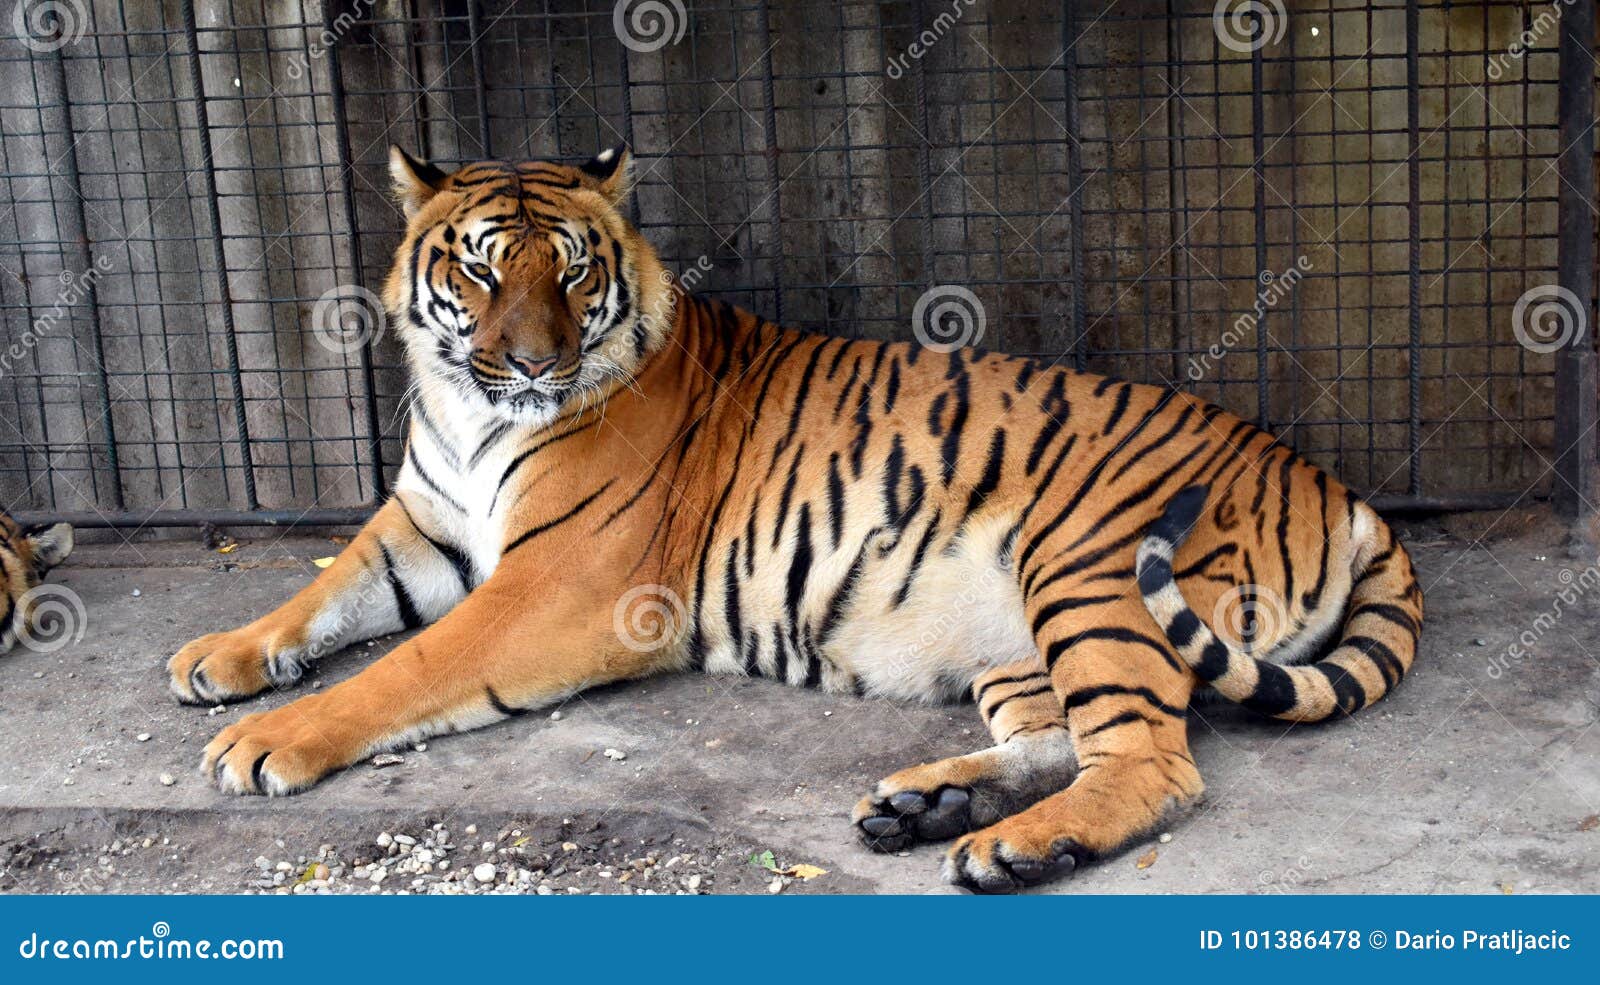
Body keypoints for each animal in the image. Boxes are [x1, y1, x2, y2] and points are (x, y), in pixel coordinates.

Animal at [167, 144, 1423, 893]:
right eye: (478, 273)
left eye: (571, 274)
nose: (528, 363)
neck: (472, 415)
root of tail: (1333, 486)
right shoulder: (420, 526)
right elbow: (321, 593)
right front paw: (215, 658)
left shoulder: (559, 584)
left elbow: (405, 667)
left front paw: (266, 740)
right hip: (1024, 641)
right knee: (1067, 733)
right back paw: (930, 802)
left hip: (1095, 578)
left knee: (1154, 760)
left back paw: (1009, 846)